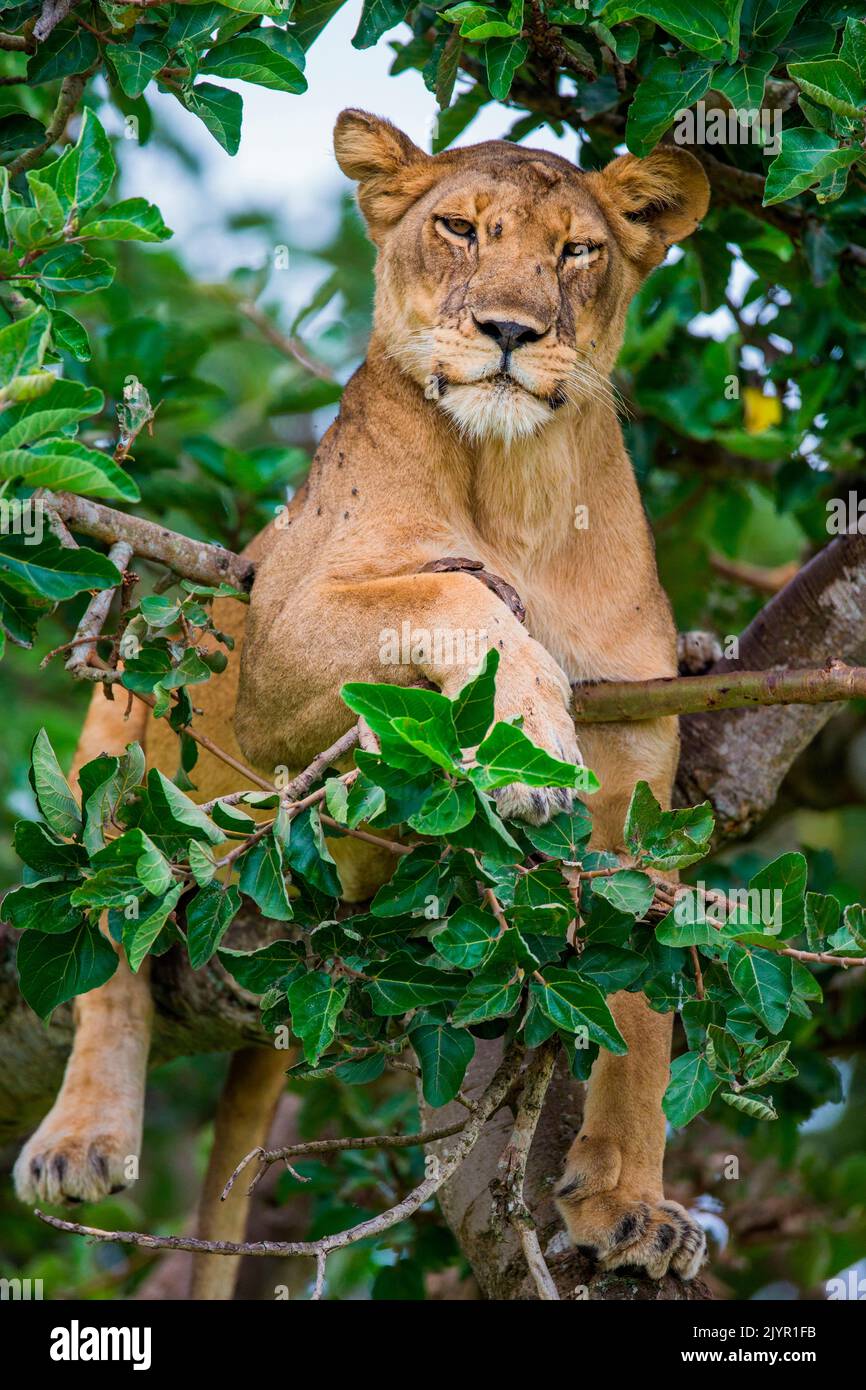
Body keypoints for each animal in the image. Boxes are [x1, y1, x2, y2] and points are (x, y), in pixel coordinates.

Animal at [13, 111, 710, 1298]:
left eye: (579, 251)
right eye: (459, 228)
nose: (510, 330)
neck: (518, 488)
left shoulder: (641, 776)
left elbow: (647, 1010)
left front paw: (630, 1203)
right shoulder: (277, 648)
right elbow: (451, 590)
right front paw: (525, 728)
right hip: (125, 712)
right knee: (107, 947)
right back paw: (81, 1136)